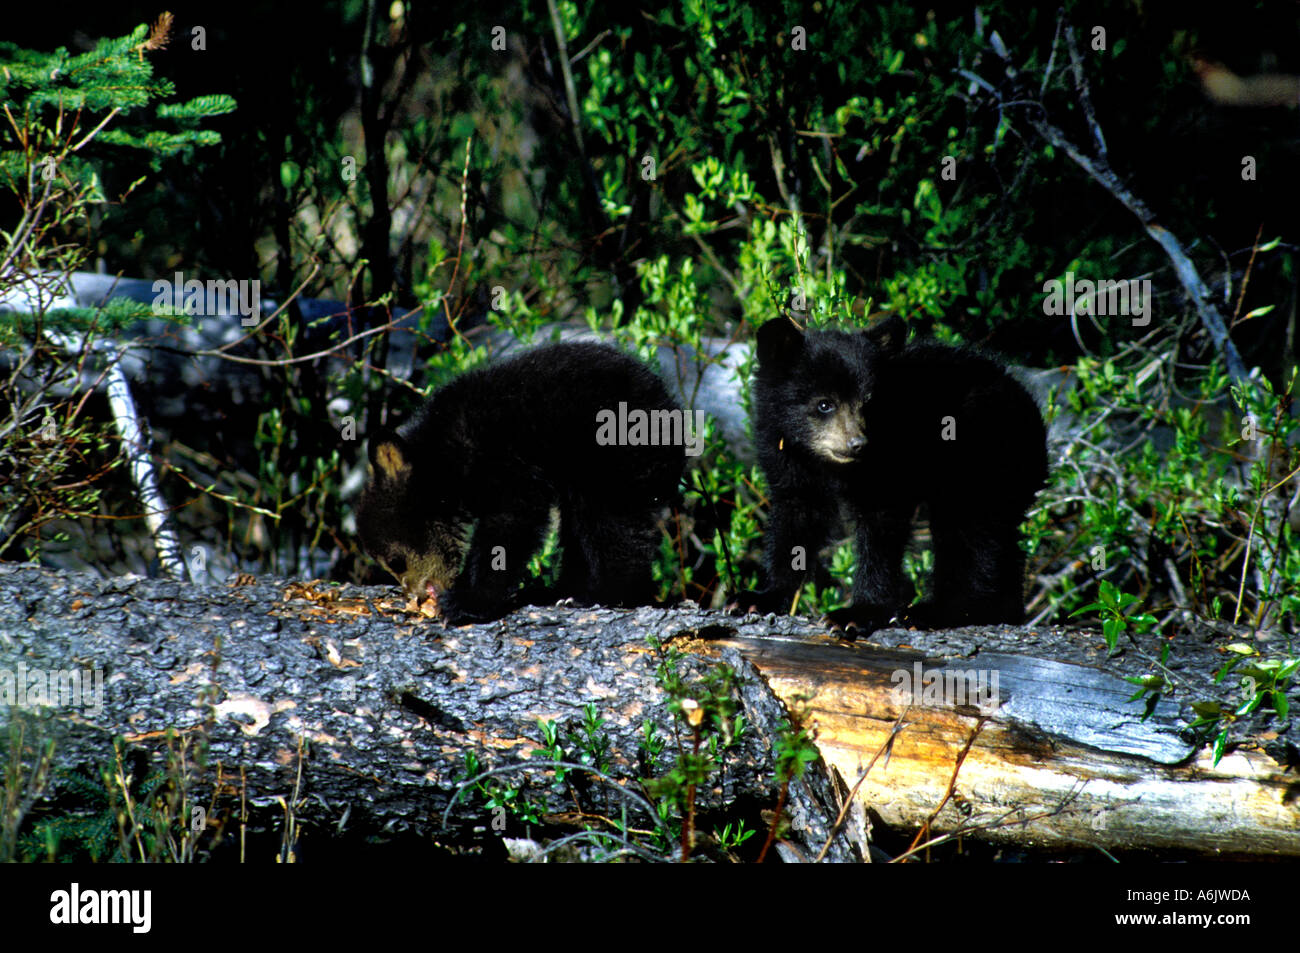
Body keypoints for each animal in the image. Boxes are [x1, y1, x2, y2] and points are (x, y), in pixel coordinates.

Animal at [356, 341, 686, 624]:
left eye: (395, 561)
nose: (416, 595)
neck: (446, 457)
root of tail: (670, 405)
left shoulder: (499, 458)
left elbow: (511, 520)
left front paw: (466, 602)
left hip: (610, 454)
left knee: (609, 520)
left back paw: (600, 594)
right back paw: (563, 590)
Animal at [730, 316, 1048, 634]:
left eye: (868, 401)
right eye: (824, 404)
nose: (858, 444)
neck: (825, 463)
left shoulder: (887, 470)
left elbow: (880, 532)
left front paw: (856, 613)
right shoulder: (787, 456)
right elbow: (794, 521)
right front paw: (760, 597)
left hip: (980, 457)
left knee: (971, 532)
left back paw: (940, 611)